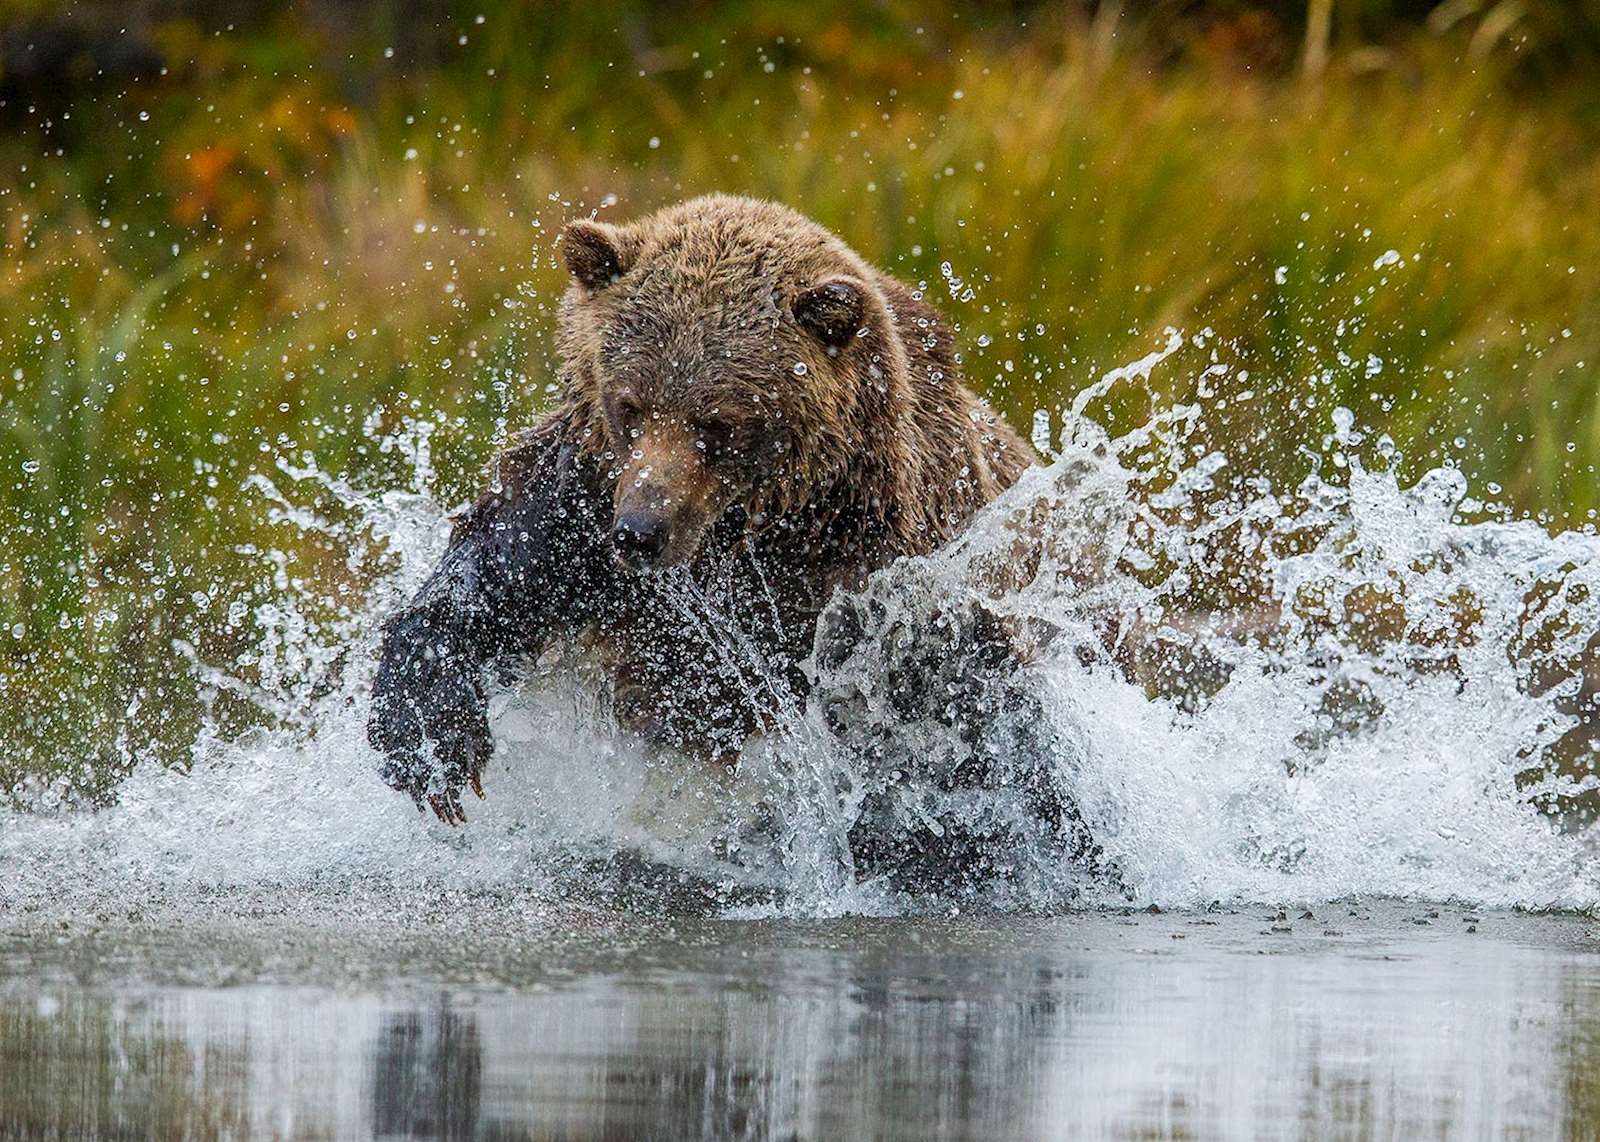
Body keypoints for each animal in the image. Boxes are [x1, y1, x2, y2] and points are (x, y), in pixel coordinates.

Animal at [367, 195, 1044, 837]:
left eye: (718, 423)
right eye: (629, 405)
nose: (641, 532)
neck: (750, 534)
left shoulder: (861, 569)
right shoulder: (581, 503)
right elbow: (489, 576)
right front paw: (434, 743)